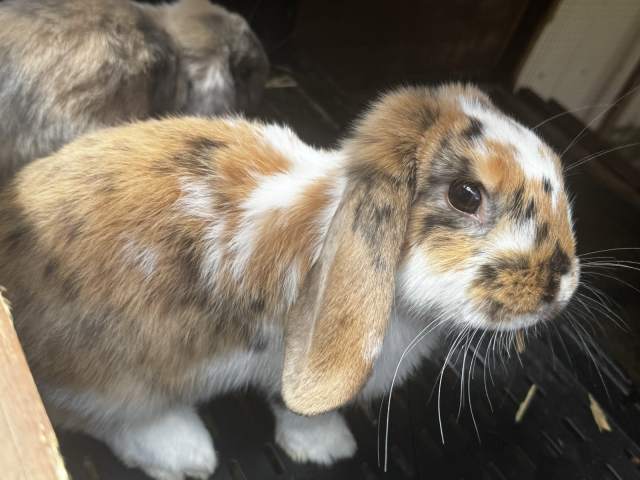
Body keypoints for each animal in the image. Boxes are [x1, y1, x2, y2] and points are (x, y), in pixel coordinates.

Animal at [0, 83, 580, 480]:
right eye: (466, 195)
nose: (563, 285)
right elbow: (296, 409)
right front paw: (330, 448)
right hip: (115, 375)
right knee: (108, 416)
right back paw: (186, 452)